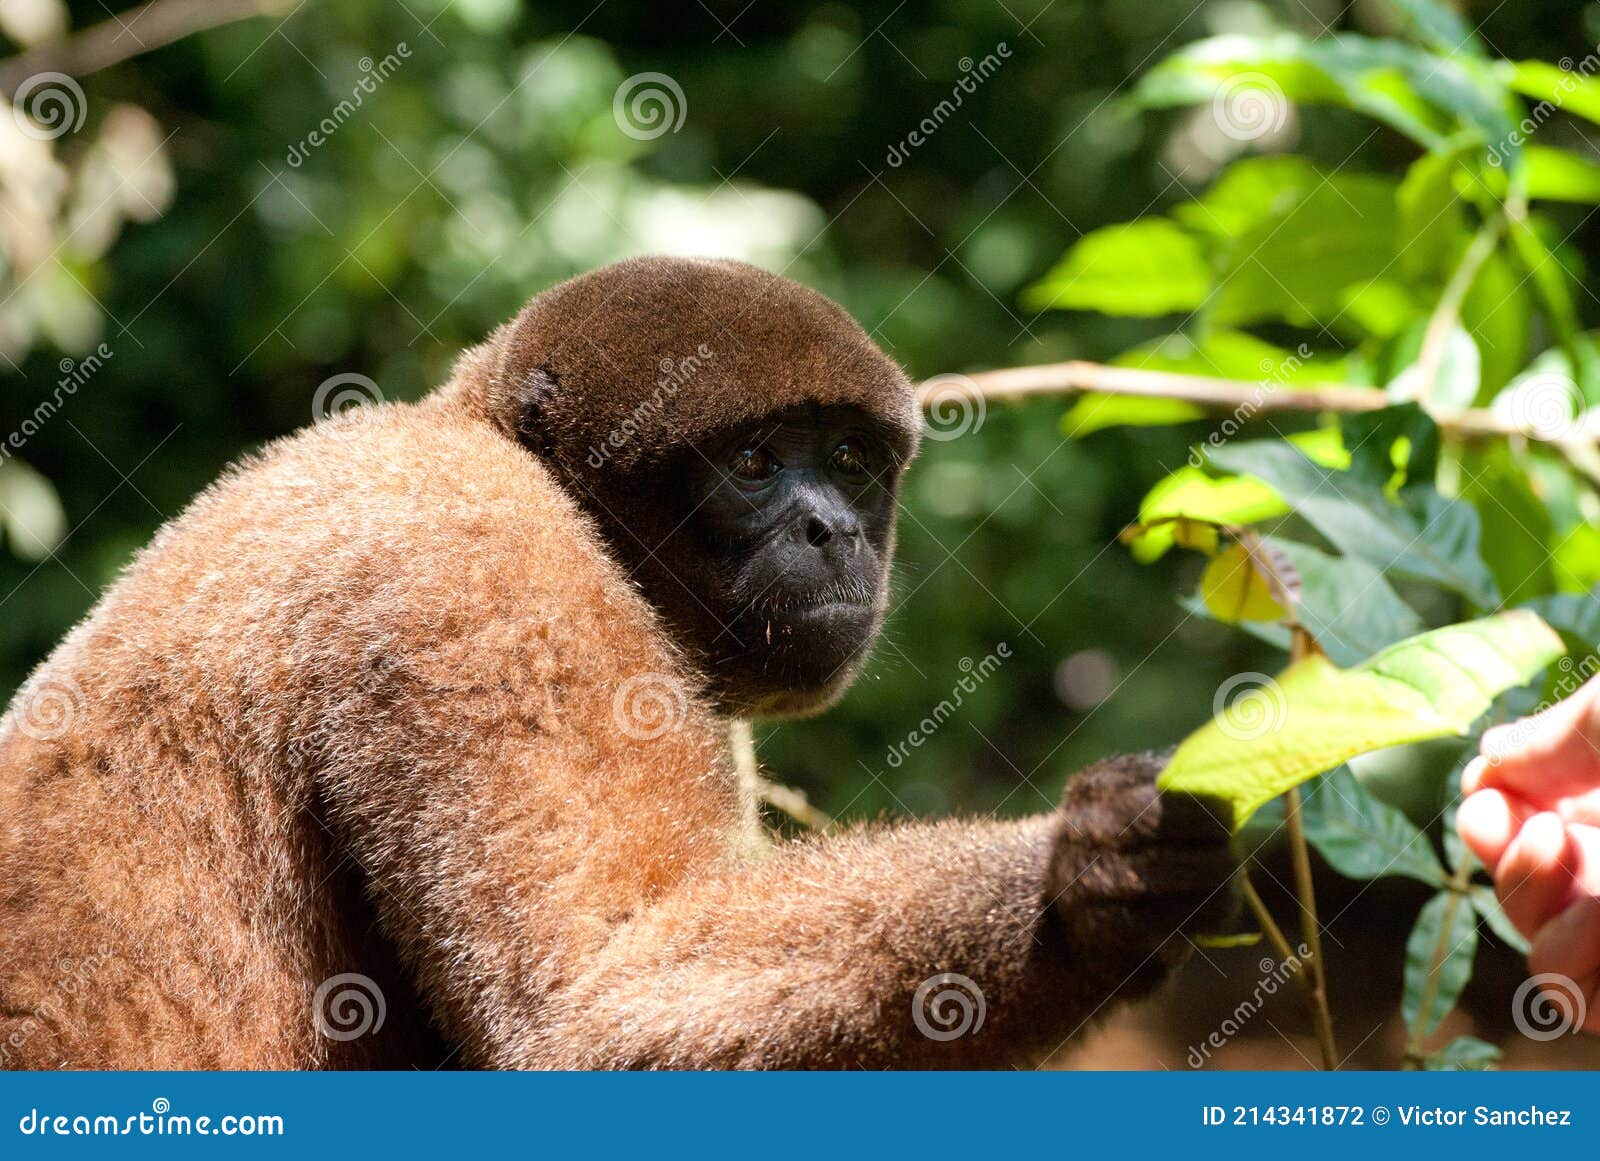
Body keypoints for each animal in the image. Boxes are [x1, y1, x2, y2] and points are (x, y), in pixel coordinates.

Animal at [0, 256, 1235, 1069]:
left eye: (850, 459)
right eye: (753, 463)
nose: (833, 530)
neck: (490, 435)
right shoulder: (482, 571)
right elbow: (588, 1007)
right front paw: (1092, 885)